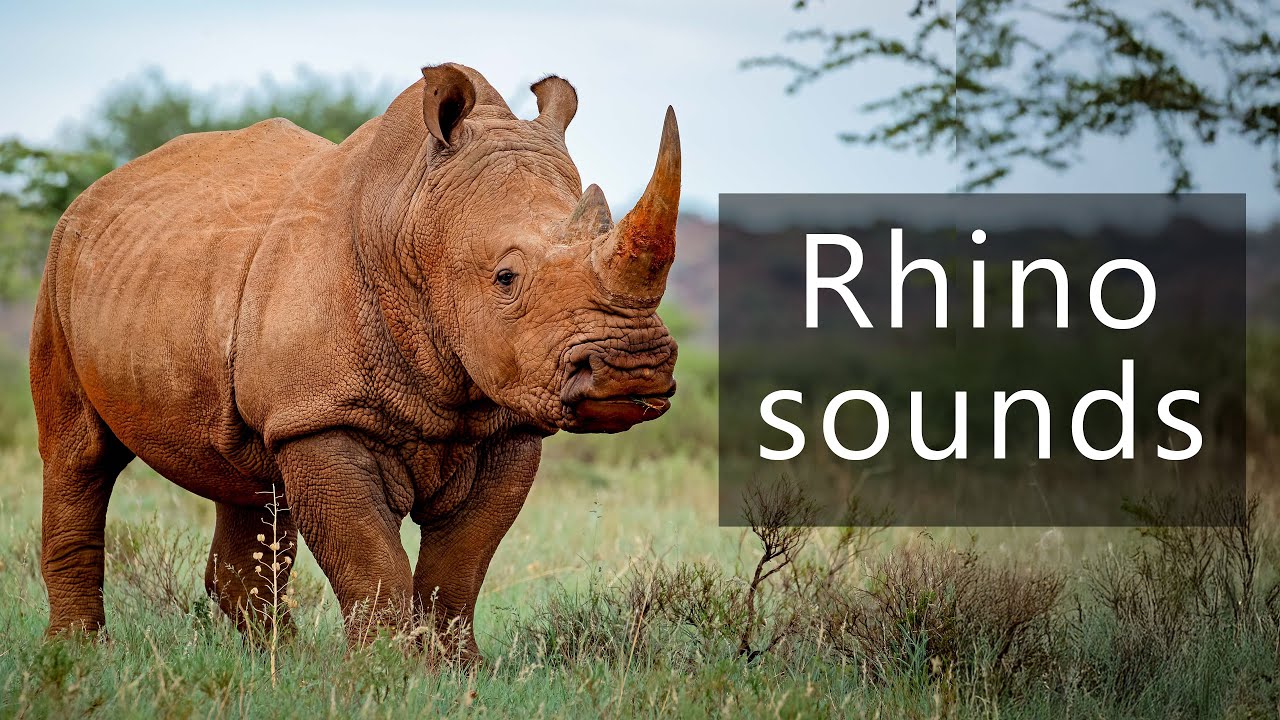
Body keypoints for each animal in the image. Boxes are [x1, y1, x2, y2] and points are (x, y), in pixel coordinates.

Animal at [31, 63, 680, 657]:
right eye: (505, 277)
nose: (633, 370)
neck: (414, 218)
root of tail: (100, 189)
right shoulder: (323, 417)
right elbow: (371, 565)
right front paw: (387, 673)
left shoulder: (510, 417)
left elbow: (459, 569)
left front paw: (456, 674)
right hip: (61, 261)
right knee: (78, 455)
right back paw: (79, 654)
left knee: (250, 482)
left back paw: (280, 663)